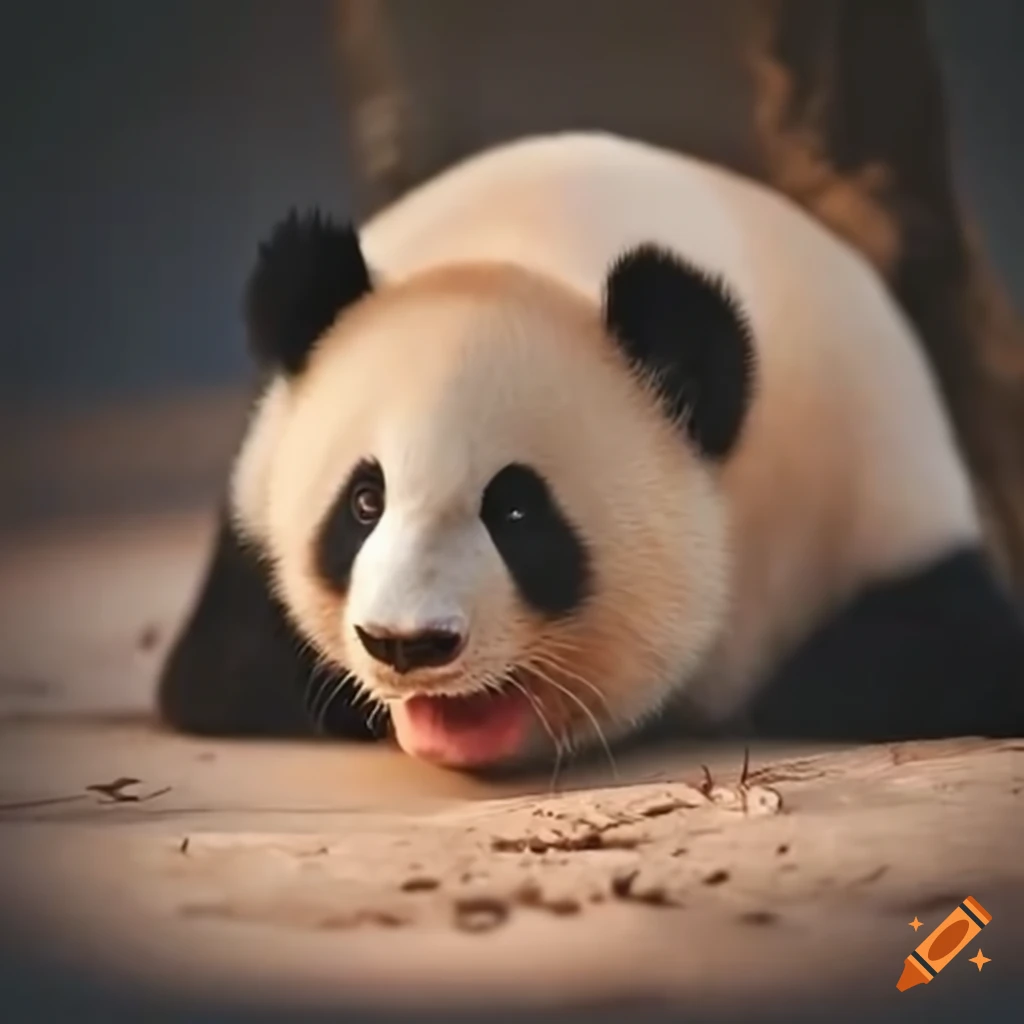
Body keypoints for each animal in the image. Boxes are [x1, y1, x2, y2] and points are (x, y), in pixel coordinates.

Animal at [158, 131, 1024, 770]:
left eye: (515, 511)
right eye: (363, 503)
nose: (407, 643)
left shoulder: (862, 485)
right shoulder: (257, 509)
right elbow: (218, 677)